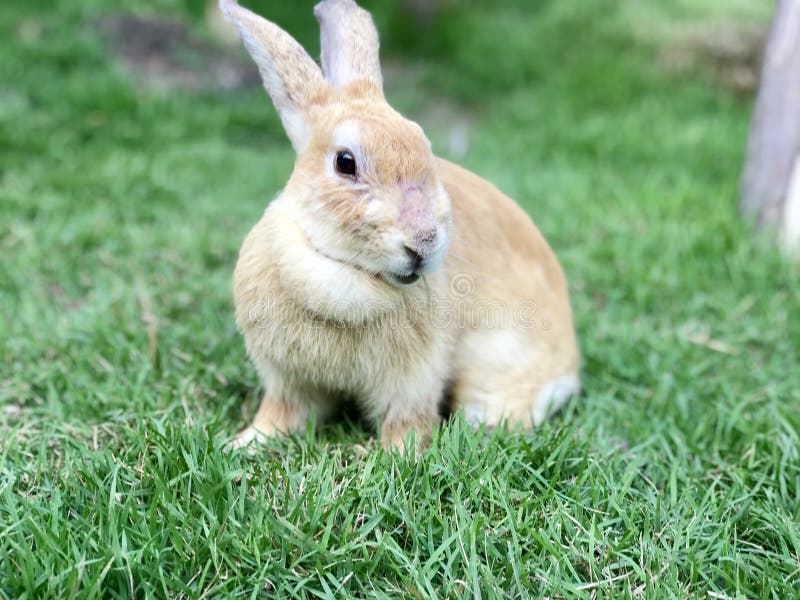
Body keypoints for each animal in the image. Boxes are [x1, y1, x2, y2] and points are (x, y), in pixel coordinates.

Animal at [221, 0, 580, 450]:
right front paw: (246, 442)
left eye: (425, 147)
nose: (423, 243)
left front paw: (387, 454)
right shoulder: (287, 379)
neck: (342, 269)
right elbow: (283, 413)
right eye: (345, 162)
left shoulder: (411, 381)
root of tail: (570, 365)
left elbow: (406, 423)